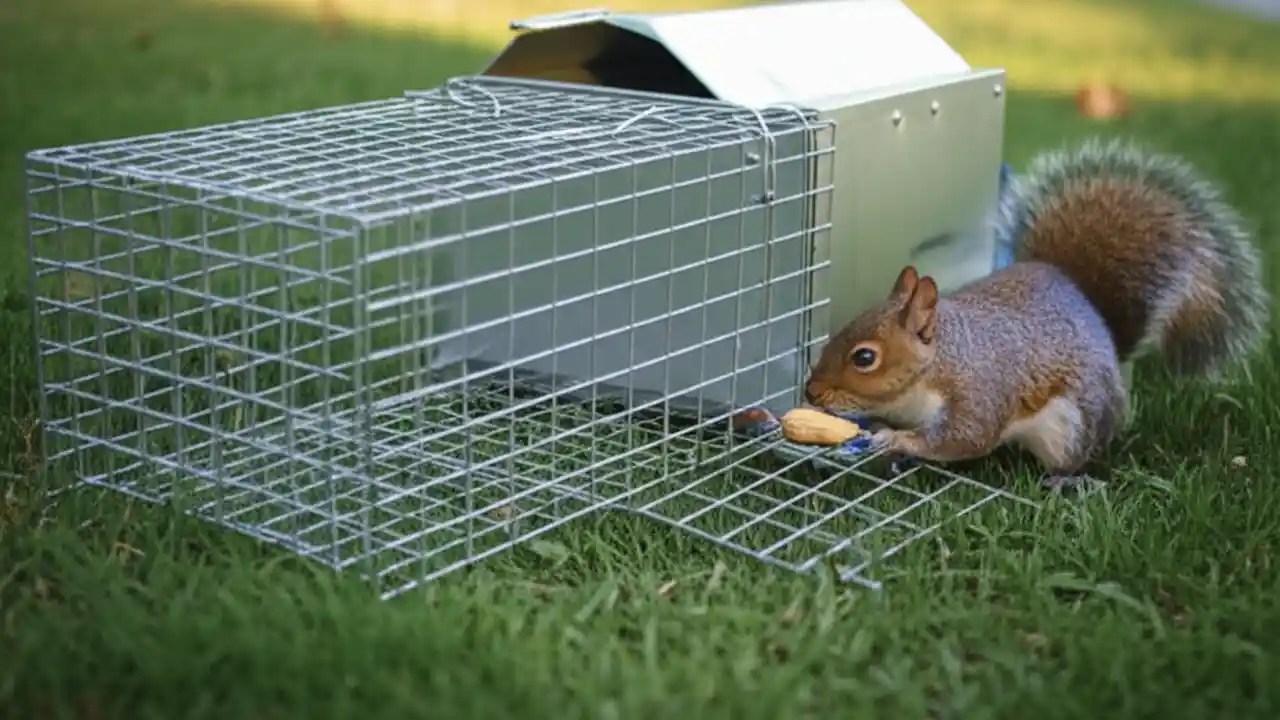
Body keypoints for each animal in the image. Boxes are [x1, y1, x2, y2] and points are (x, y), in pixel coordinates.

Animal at [803, 139, 1270, 490]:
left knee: (1075, 458)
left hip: (1072, 426)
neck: (945, 360)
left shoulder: (980, 392)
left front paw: (898, 439)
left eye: (865, 357)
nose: (811, 392)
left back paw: (1066, 481)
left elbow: (965, 437)